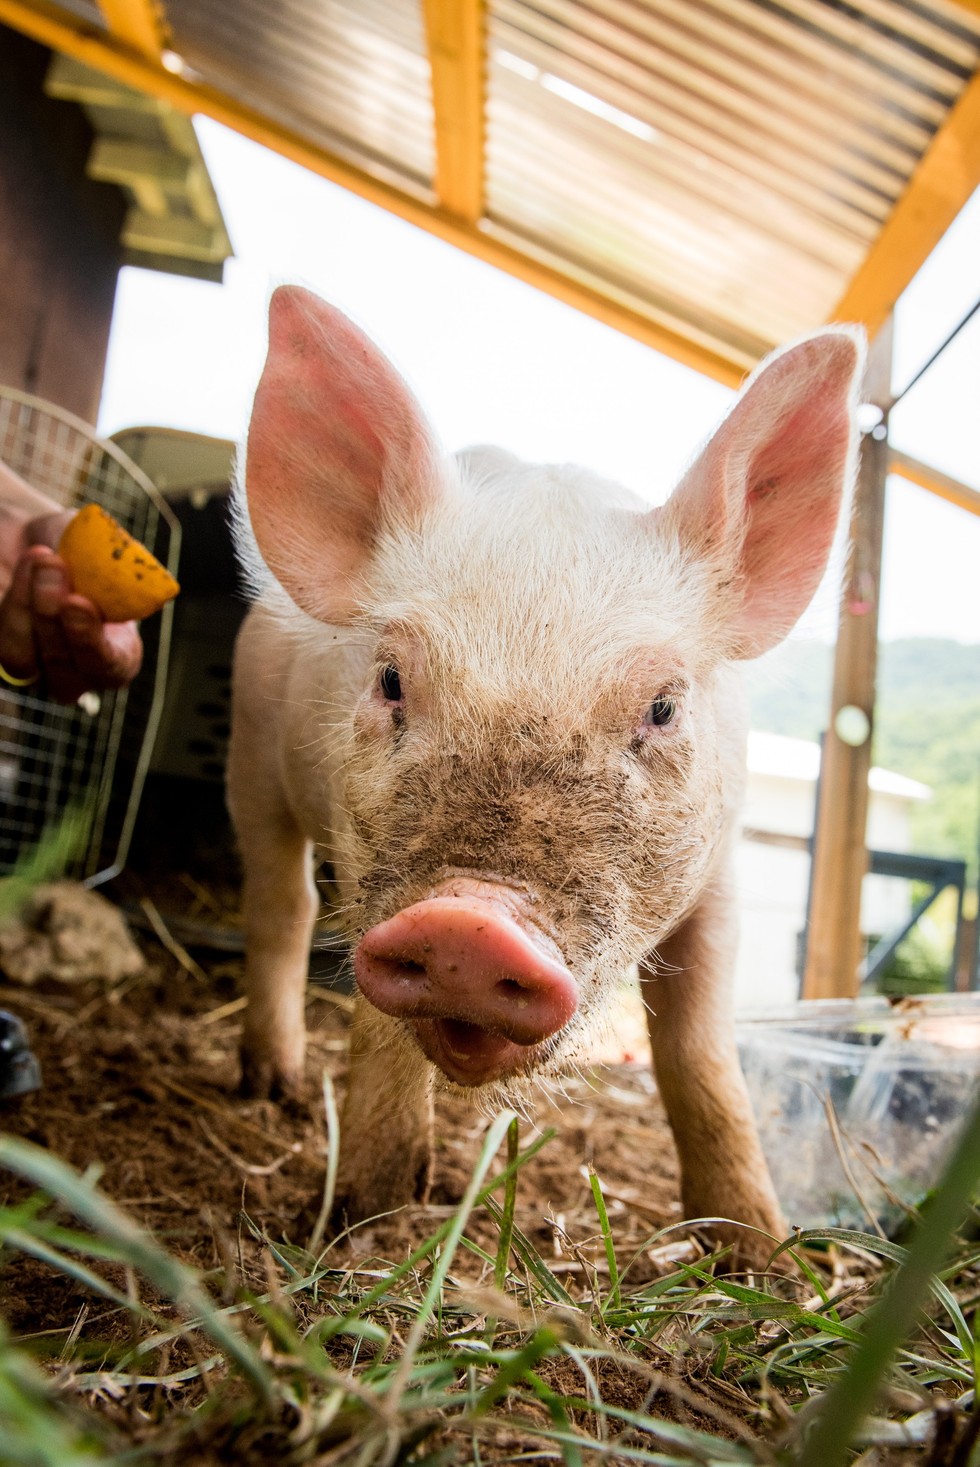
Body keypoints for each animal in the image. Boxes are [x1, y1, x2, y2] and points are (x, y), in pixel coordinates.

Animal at [227, 285, 863, 1260]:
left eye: (663, 706)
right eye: (391, 679)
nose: (468, 922)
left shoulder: (719, 873)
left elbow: (701, 1047)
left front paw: (760, 1251)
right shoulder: (364, 856)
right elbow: (379, 1032)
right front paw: (366, 1226)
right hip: (249, 756)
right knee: (280, 905)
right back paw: (274, 1085)